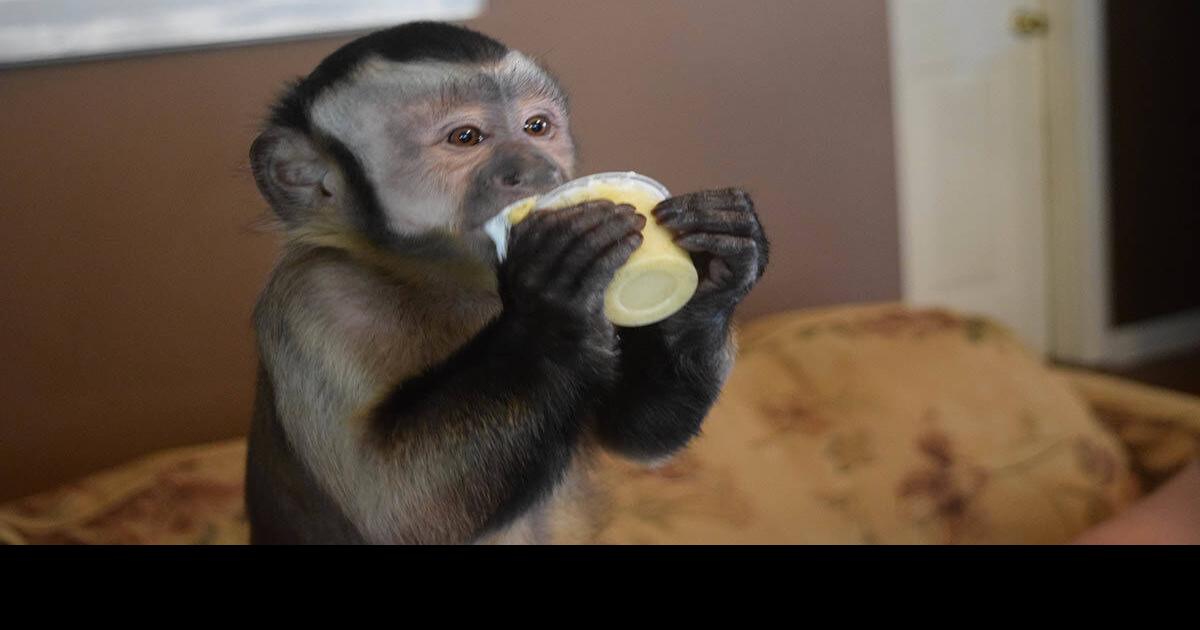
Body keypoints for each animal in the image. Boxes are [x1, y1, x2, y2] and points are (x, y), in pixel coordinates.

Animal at [244, 21, 769, 545]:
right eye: (466, 137)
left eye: (536, 127)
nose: (539, 169)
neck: (433, 272)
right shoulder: (316, 298)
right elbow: (402, 510)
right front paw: (551, 306)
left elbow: (632, 435)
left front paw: (716, 275)